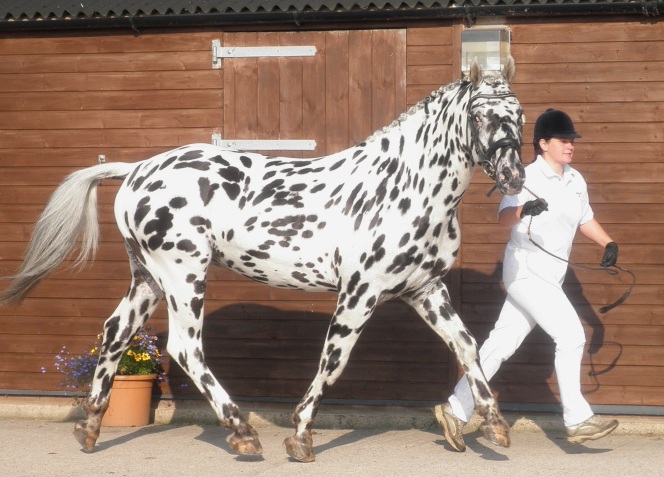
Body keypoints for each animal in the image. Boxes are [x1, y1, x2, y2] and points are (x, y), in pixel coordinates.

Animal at [0, 57, 525, 462]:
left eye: (518, 113)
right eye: (479, 115)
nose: (514, 175)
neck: (404, 187)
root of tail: (137, 170)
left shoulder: (424, 290)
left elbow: (468, 347)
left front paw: (495, 425)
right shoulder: (360, 293)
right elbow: (334, 361)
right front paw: (300, 437)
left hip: (147, 279)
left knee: (115, 334)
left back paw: (90, 429)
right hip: (183, 274)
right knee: (185, 348)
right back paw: (242, 433)